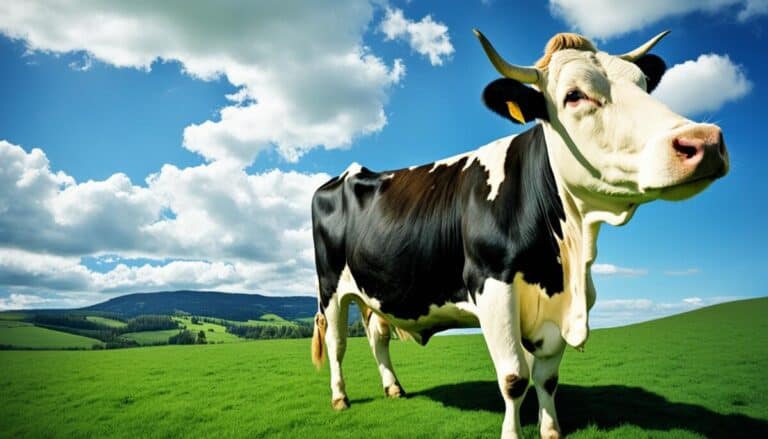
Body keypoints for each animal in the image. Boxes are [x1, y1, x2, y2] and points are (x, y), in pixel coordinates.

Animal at [310, 29, 729, 439]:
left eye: (644, 85)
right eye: (573, 95)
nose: (704, 141)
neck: (566, 261)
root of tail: (347, 173)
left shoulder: (553, 309)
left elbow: (546, 378)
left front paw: (551, 429)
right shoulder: (493, 288)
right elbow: (514, 378)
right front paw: (513, 433)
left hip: (373, 290)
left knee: (377, 335)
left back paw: (393, 388)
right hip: (331, 289)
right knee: (337, 343)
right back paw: (340, 398)